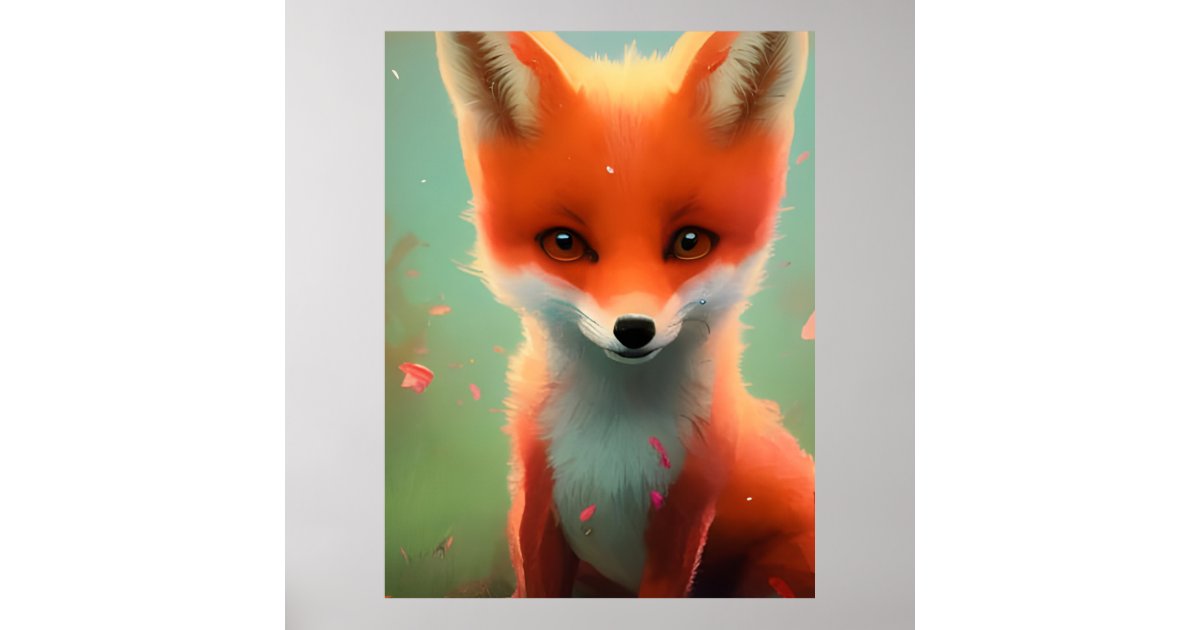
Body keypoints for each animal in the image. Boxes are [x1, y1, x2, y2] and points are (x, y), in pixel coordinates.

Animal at [434, 31, 814, 597]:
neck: (613, 444)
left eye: (690, 242)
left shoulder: (682, 523)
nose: (634, 330)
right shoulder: (537, 508)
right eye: (564, 243)